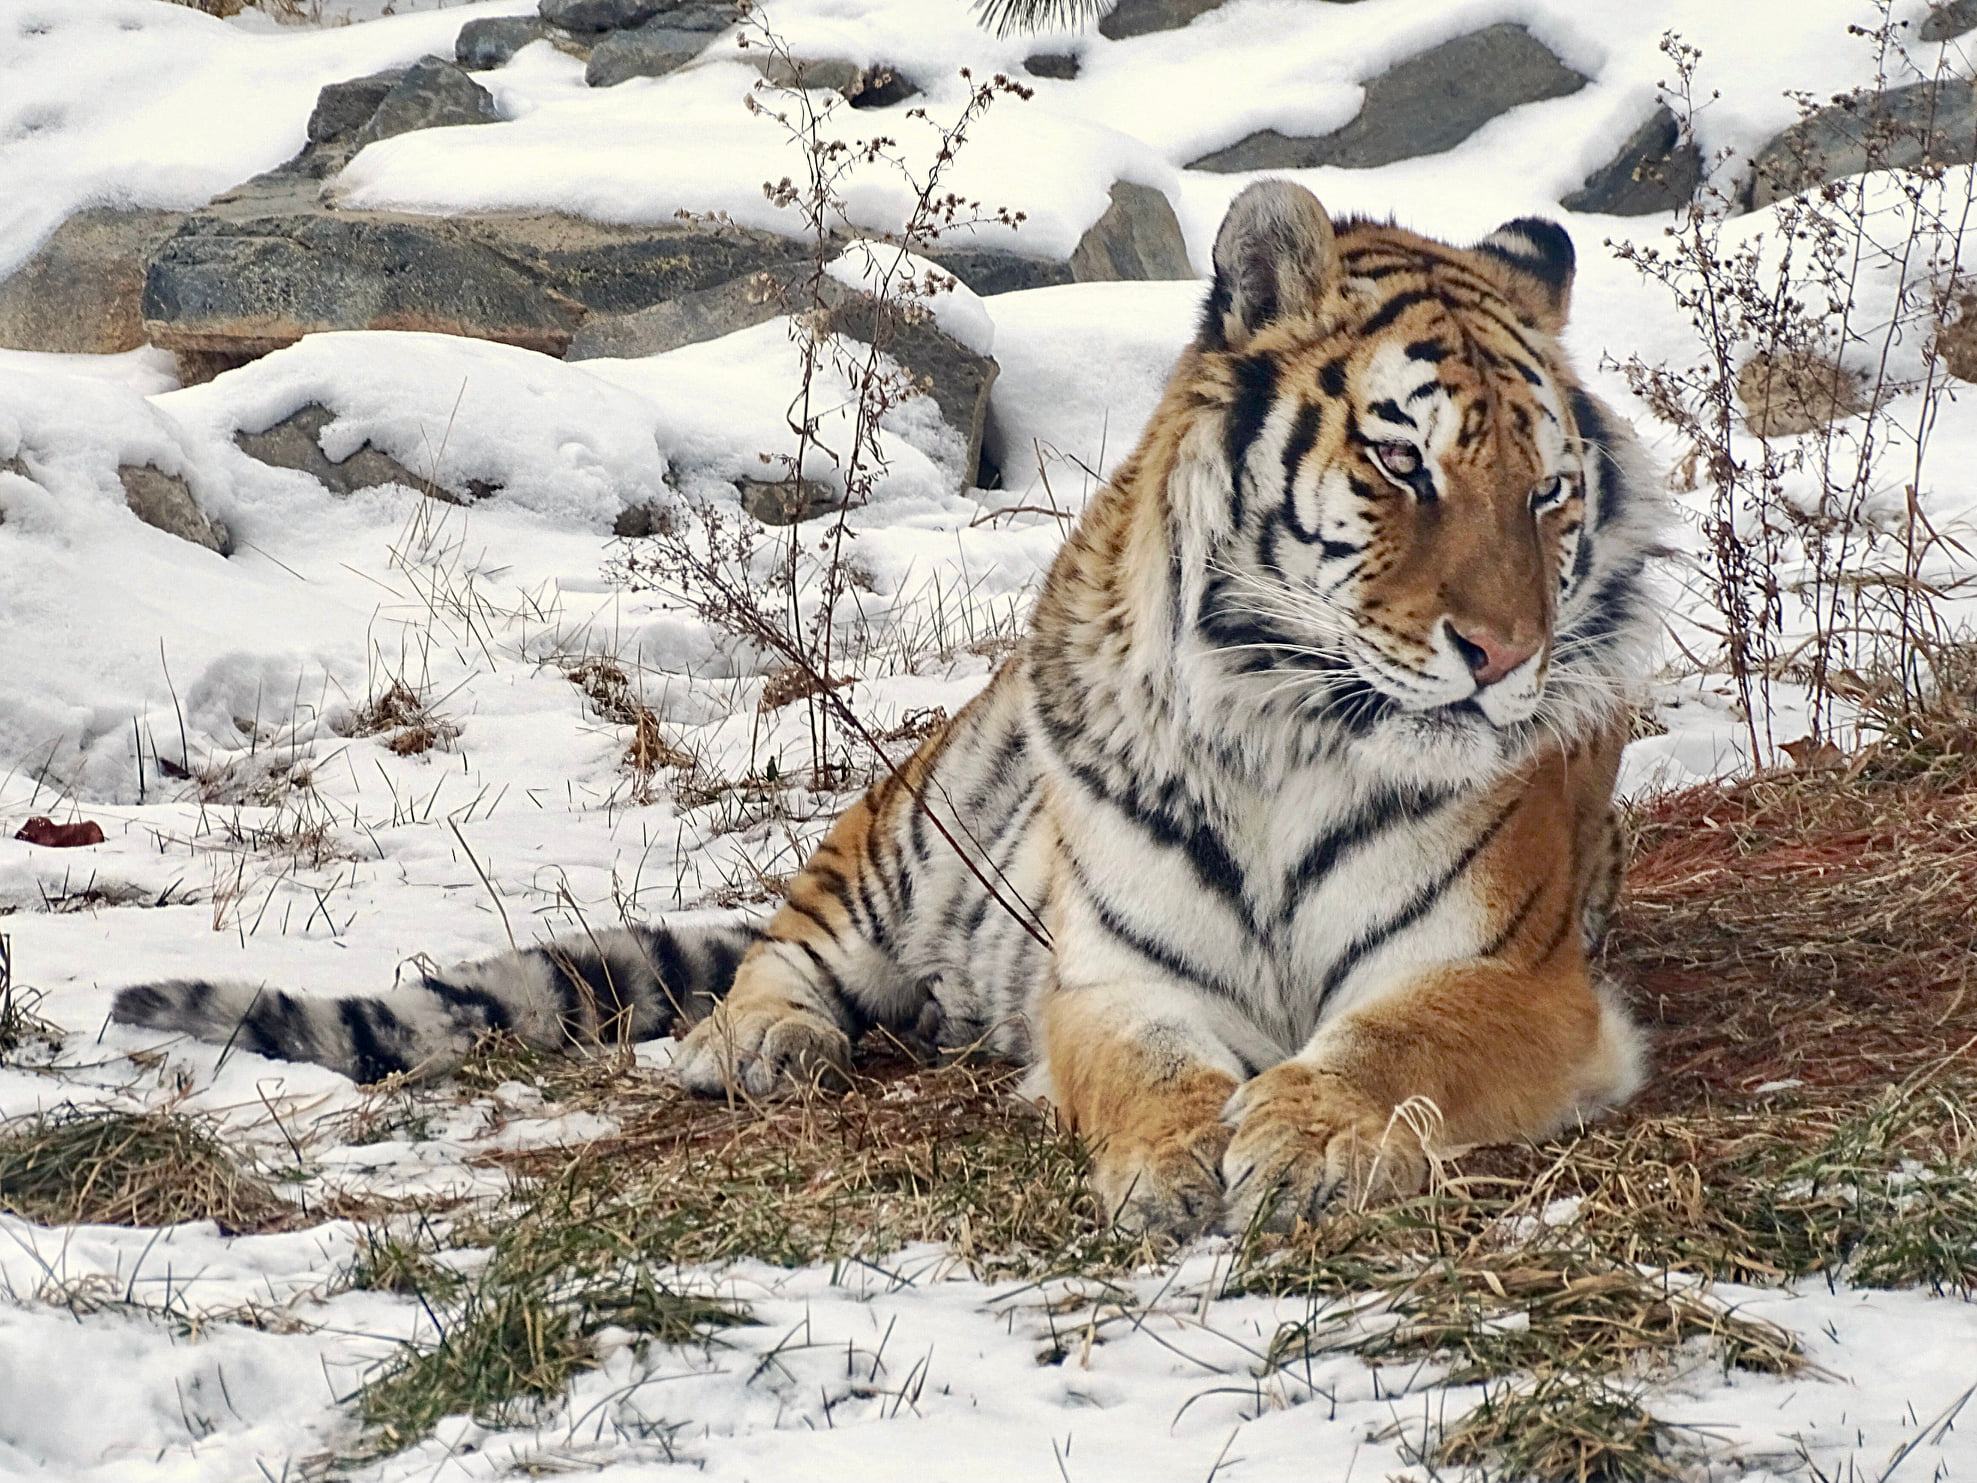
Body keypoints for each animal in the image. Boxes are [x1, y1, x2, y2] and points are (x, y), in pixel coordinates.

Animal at [114, 180, 1664, 1239]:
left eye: (1547, 492)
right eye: (1404, 464)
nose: (1506, 656)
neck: (1284, 726)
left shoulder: (1512, 972)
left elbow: (1393, 1042)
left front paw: (1304, 1141)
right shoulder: (1118, 979)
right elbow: (1146, 1073)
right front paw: (1171, 1165)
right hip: (907, 824)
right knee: (775, 952)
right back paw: (760, 1045)